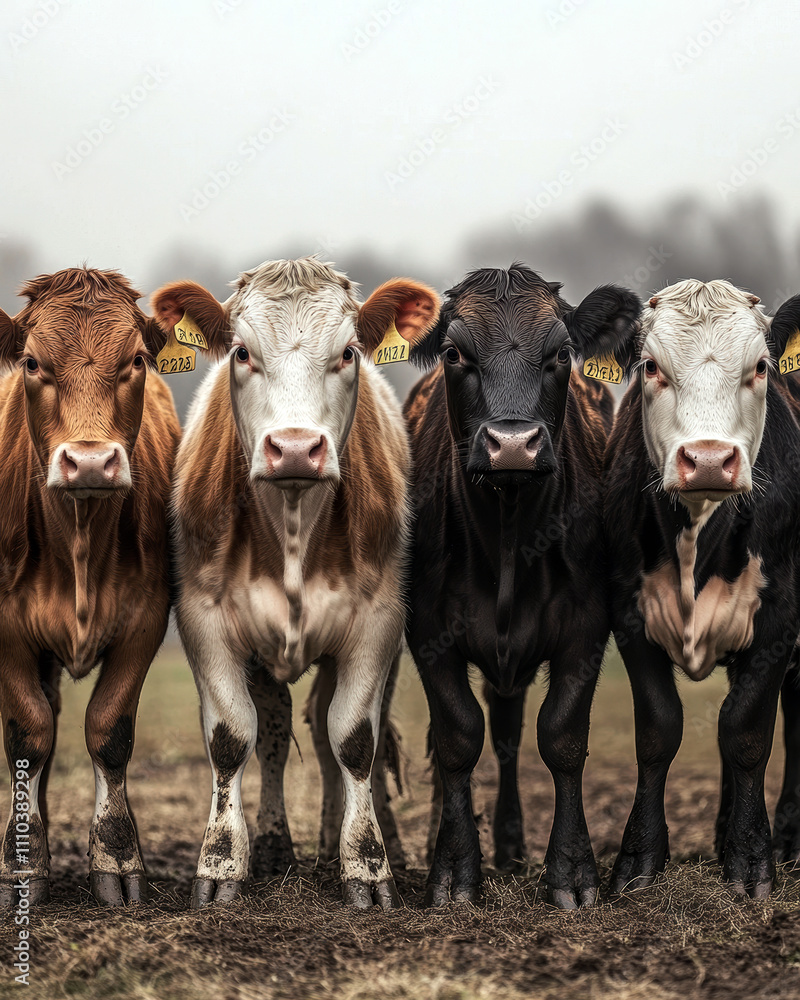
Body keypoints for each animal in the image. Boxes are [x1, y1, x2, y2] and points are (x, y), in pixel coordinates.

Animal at [0, 268, 180, 907]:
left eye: (136, 361)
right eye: (32, 362)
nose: (91, 462)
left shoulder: (146, 619)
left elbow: (109, 730)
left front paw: (117, 859)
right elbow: (28, 735)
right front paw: (22, 864)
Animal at [151, 257, 439, 909]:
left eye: (349, 352)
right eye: (241, 352)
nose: (296, 449)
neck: (290, 525)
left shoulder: (379, 622)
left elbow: (354, 739)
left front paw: (368, 866)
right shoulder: (204, 619)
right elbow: (234, 737)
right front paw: (221, 865)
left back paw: (345, 845)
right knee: (277, 732)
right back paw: (276, 847)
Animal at [404, 262, 641, 907]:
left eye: (560, 353)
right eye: (455, 353)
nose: (512, 445)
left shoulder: (587, 628)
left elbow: (561, 737)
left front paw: (572, 872)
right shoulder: (428, 631)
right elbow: (458, 737)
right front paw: (453, 870)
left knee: (509, 732)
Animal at [604, 279, 800, 898]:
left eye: (760, 366)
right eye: (650, 366)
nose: (710, 459)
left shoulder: (778, 622)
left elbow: (747, 734)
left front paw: (753, 861)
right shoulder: (629, 615)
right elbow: (660, 730)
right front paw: (639, 860)